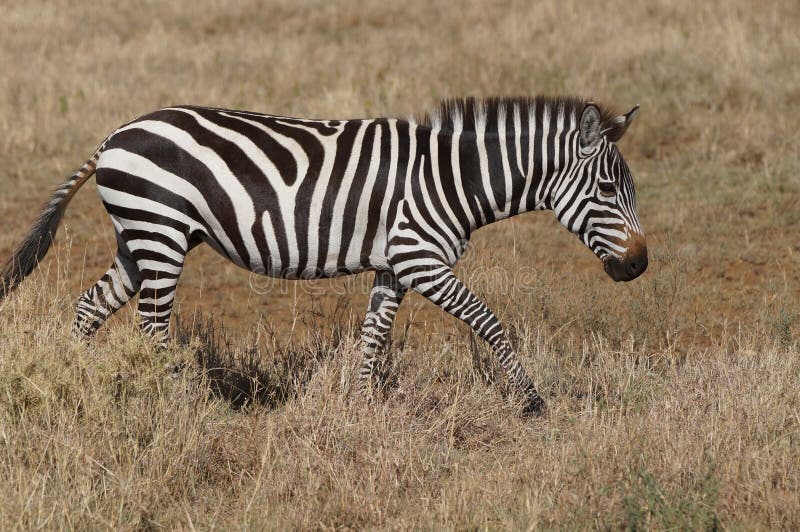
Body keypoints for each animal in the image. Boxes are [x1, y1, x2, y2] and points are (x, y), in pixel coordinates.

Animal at [0, 96, 647, 415]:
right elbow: (489, 322)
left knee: (90, 308)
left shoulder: (394, 265)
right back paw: (183, 405)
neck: (451, 178)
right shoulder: (420, 257)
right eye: (607, 190)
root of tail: (115, 135)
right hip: (160, 233)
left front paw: (359, 409)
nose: (639, 265)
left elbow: (373, 338)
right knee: (152, 326)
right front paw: (533, 402)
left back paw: (83, 387)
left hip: (141, 237)